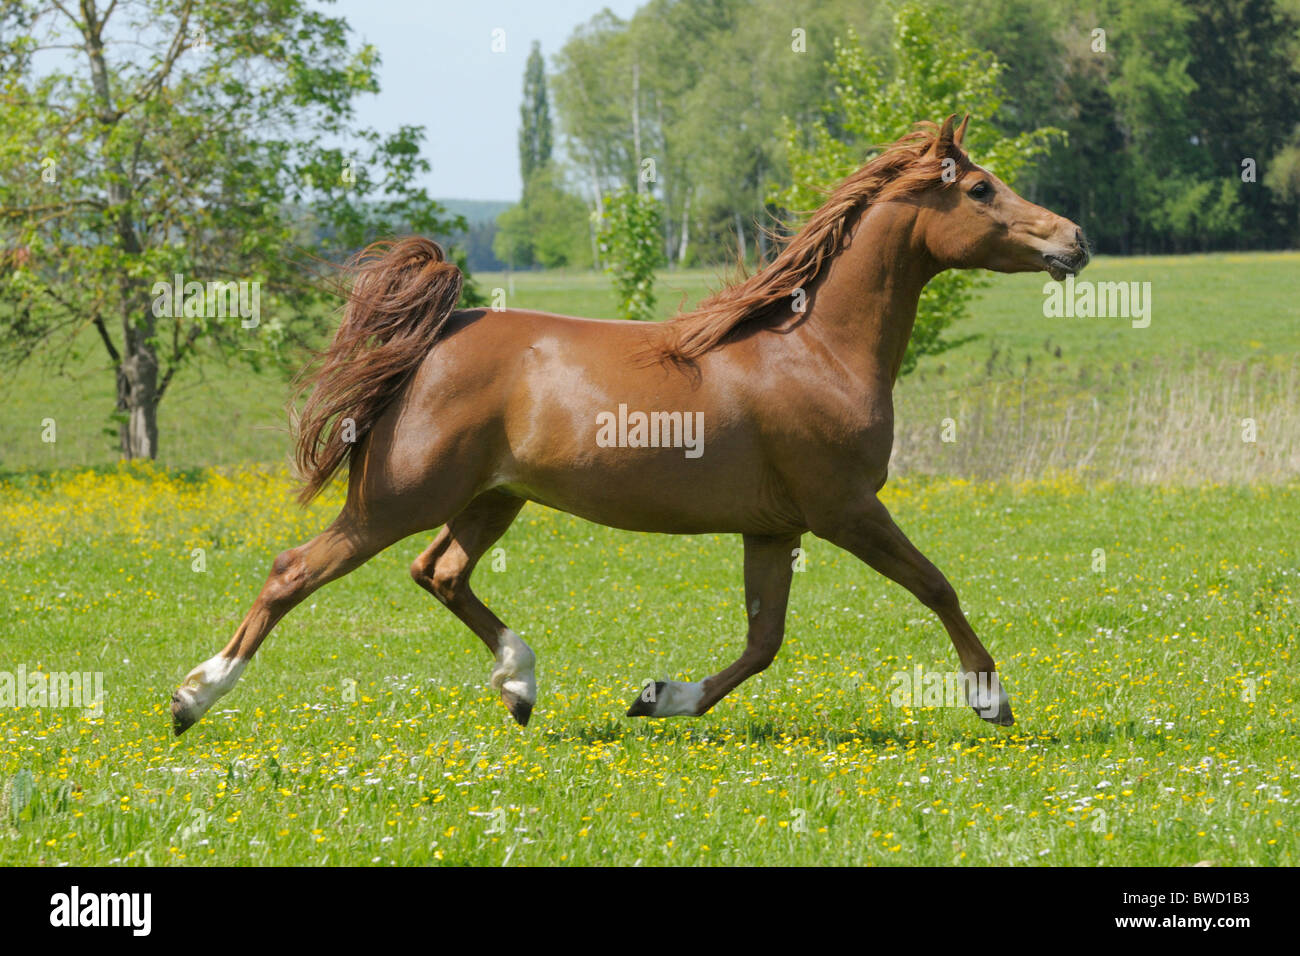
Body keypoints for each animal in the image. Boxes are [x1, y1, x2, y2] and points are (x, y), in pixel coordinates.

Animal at [170, 115, 1089, 736]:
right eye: (981, 189)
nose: (1074, 240)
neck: (817, 348)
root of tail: (436, 335)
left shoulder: (775, 528)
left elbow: (764, 641)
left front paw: (658, 697)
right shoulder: (845, 509)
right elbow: (935, 584)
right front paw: (990, 697)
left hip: (493, 497)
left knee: (440, 572)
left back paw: (521, 686)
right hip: (399, 500)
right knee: (294, 571)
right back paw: (193, 696)